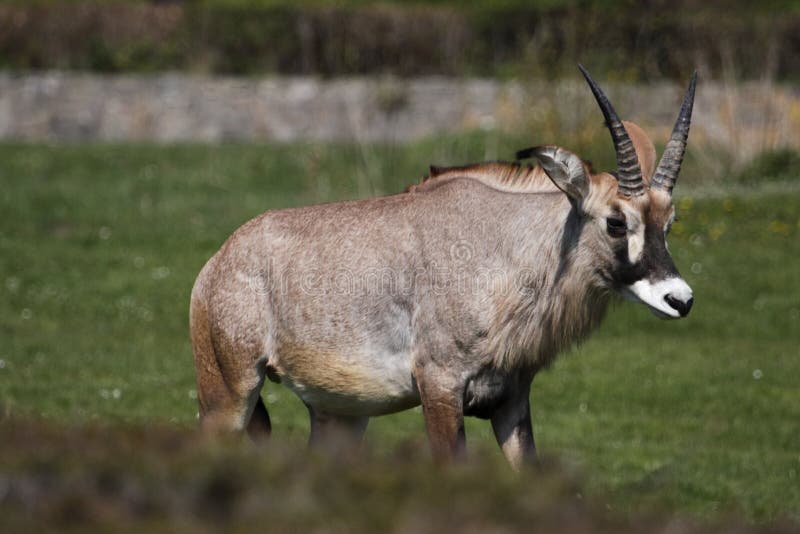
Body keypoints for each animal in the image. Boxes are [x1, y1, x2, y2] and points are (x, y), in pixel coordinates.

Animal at [190, 65, 697, 467]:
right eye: (616, 221)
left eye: (669, 222)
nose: (680, 299)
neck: (503, 249)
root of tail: (217, 263)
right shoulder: (439, 387)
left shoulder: (511, 399)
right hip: (230, 391)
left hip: (341, 415)